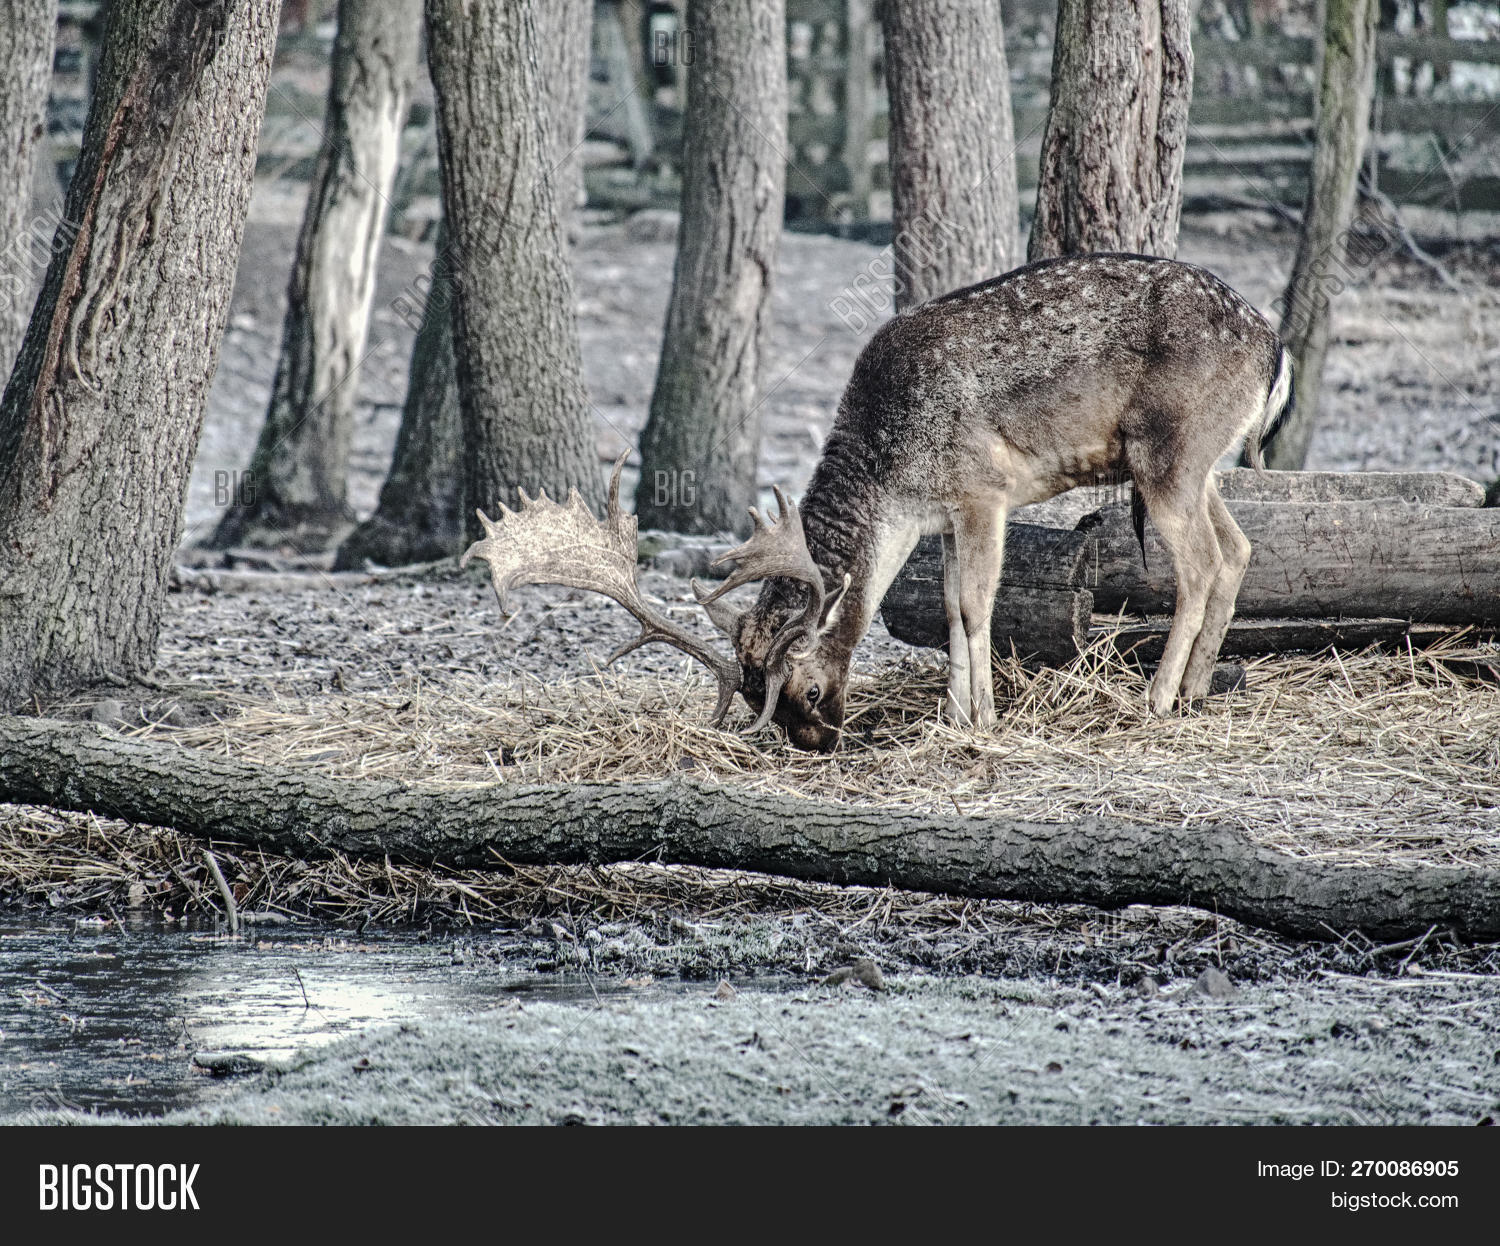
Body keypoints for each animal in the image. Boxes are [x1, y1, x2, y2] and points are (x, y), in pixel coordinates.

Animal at [462, 252, 1292, 753]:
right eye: (759, 697)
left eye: (806, 687)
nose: (816, 742)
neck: (893, 476)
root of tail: (1273, 347)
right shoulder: (944, 515)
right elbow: (953, 605)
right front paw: (953, 713)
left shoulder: (983, 488)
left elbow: (978, 605)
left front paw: (983, 718)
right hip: (1200, 463)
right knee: (1240, 550)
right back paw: (1195, 691)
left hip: (1169, 450)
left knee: (1201, 563)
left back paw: (1157, 699)